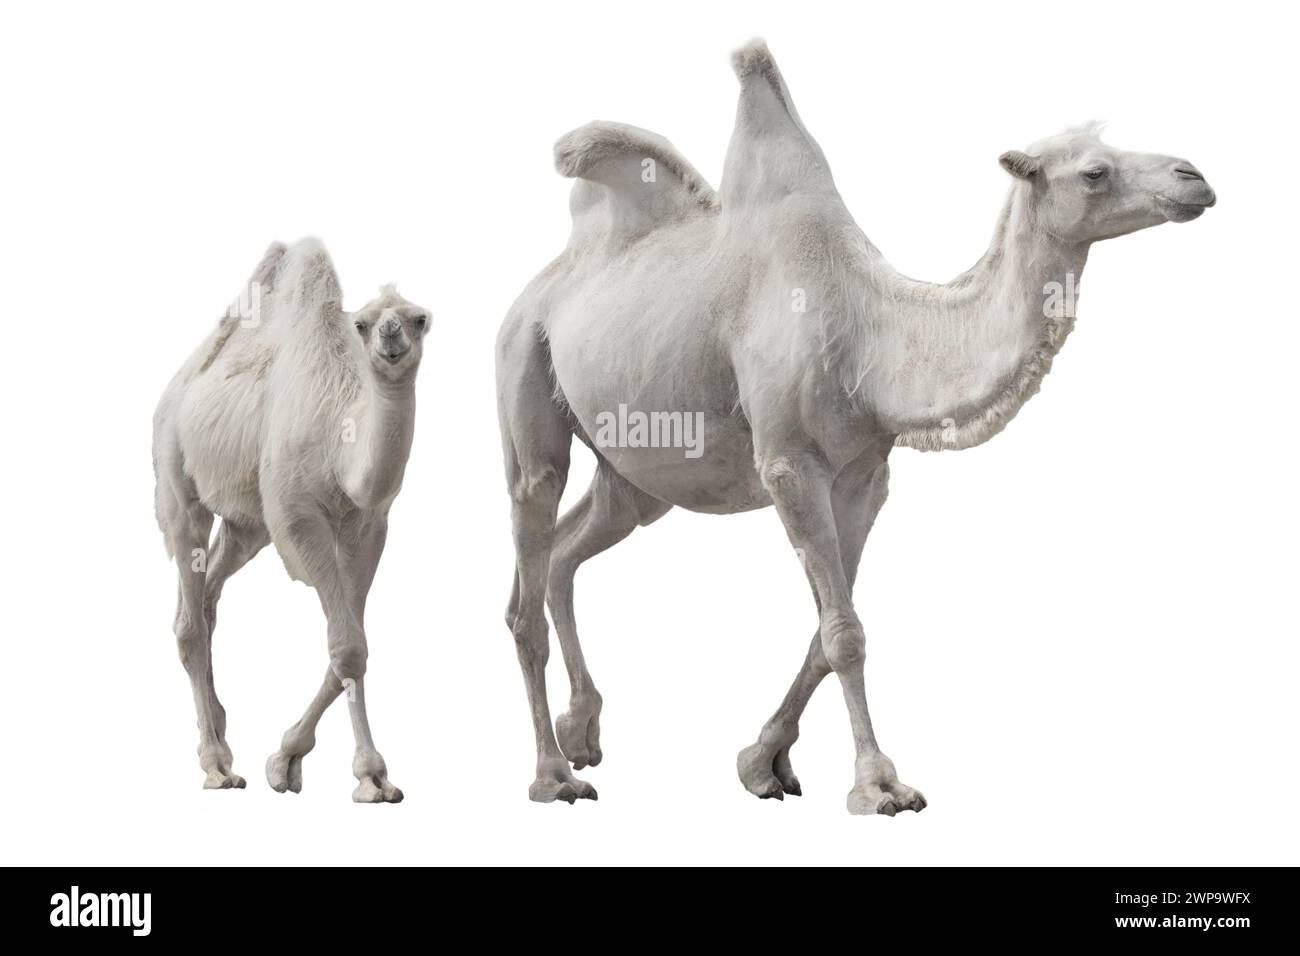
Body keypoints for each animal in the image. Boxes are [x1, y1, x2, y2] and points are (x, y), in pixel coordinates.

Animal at [153, 238, 430, 802]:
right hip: (176, 479)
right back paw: (216, 766)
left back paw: (222, 733)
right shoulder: (301, 519)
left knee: (209, 596)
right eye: (363, 323)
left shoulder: (369, 527)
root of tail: (176, 388)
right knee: (190, 613)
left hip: (248, 526)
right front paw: (370, 775)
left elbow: (351, 642)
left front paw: (286, 760)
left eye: (421, 319)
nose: (391, 335)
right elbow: (348, 646)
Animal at [495, 40, 1215, 812]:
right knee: (528, 557)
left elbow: (827, 628)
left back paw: (582, 730)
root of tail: (538, 288)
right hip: (523, 369)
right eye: (1094, 171)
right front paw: (879, 784)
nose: (1195, 178)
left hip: (637, 475)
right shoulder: (789, 463)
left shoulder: (866, 475)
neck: (872, 330)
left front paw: (762, 762)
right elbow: (843, 632)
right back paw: (553, 775)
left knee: (570, 549)